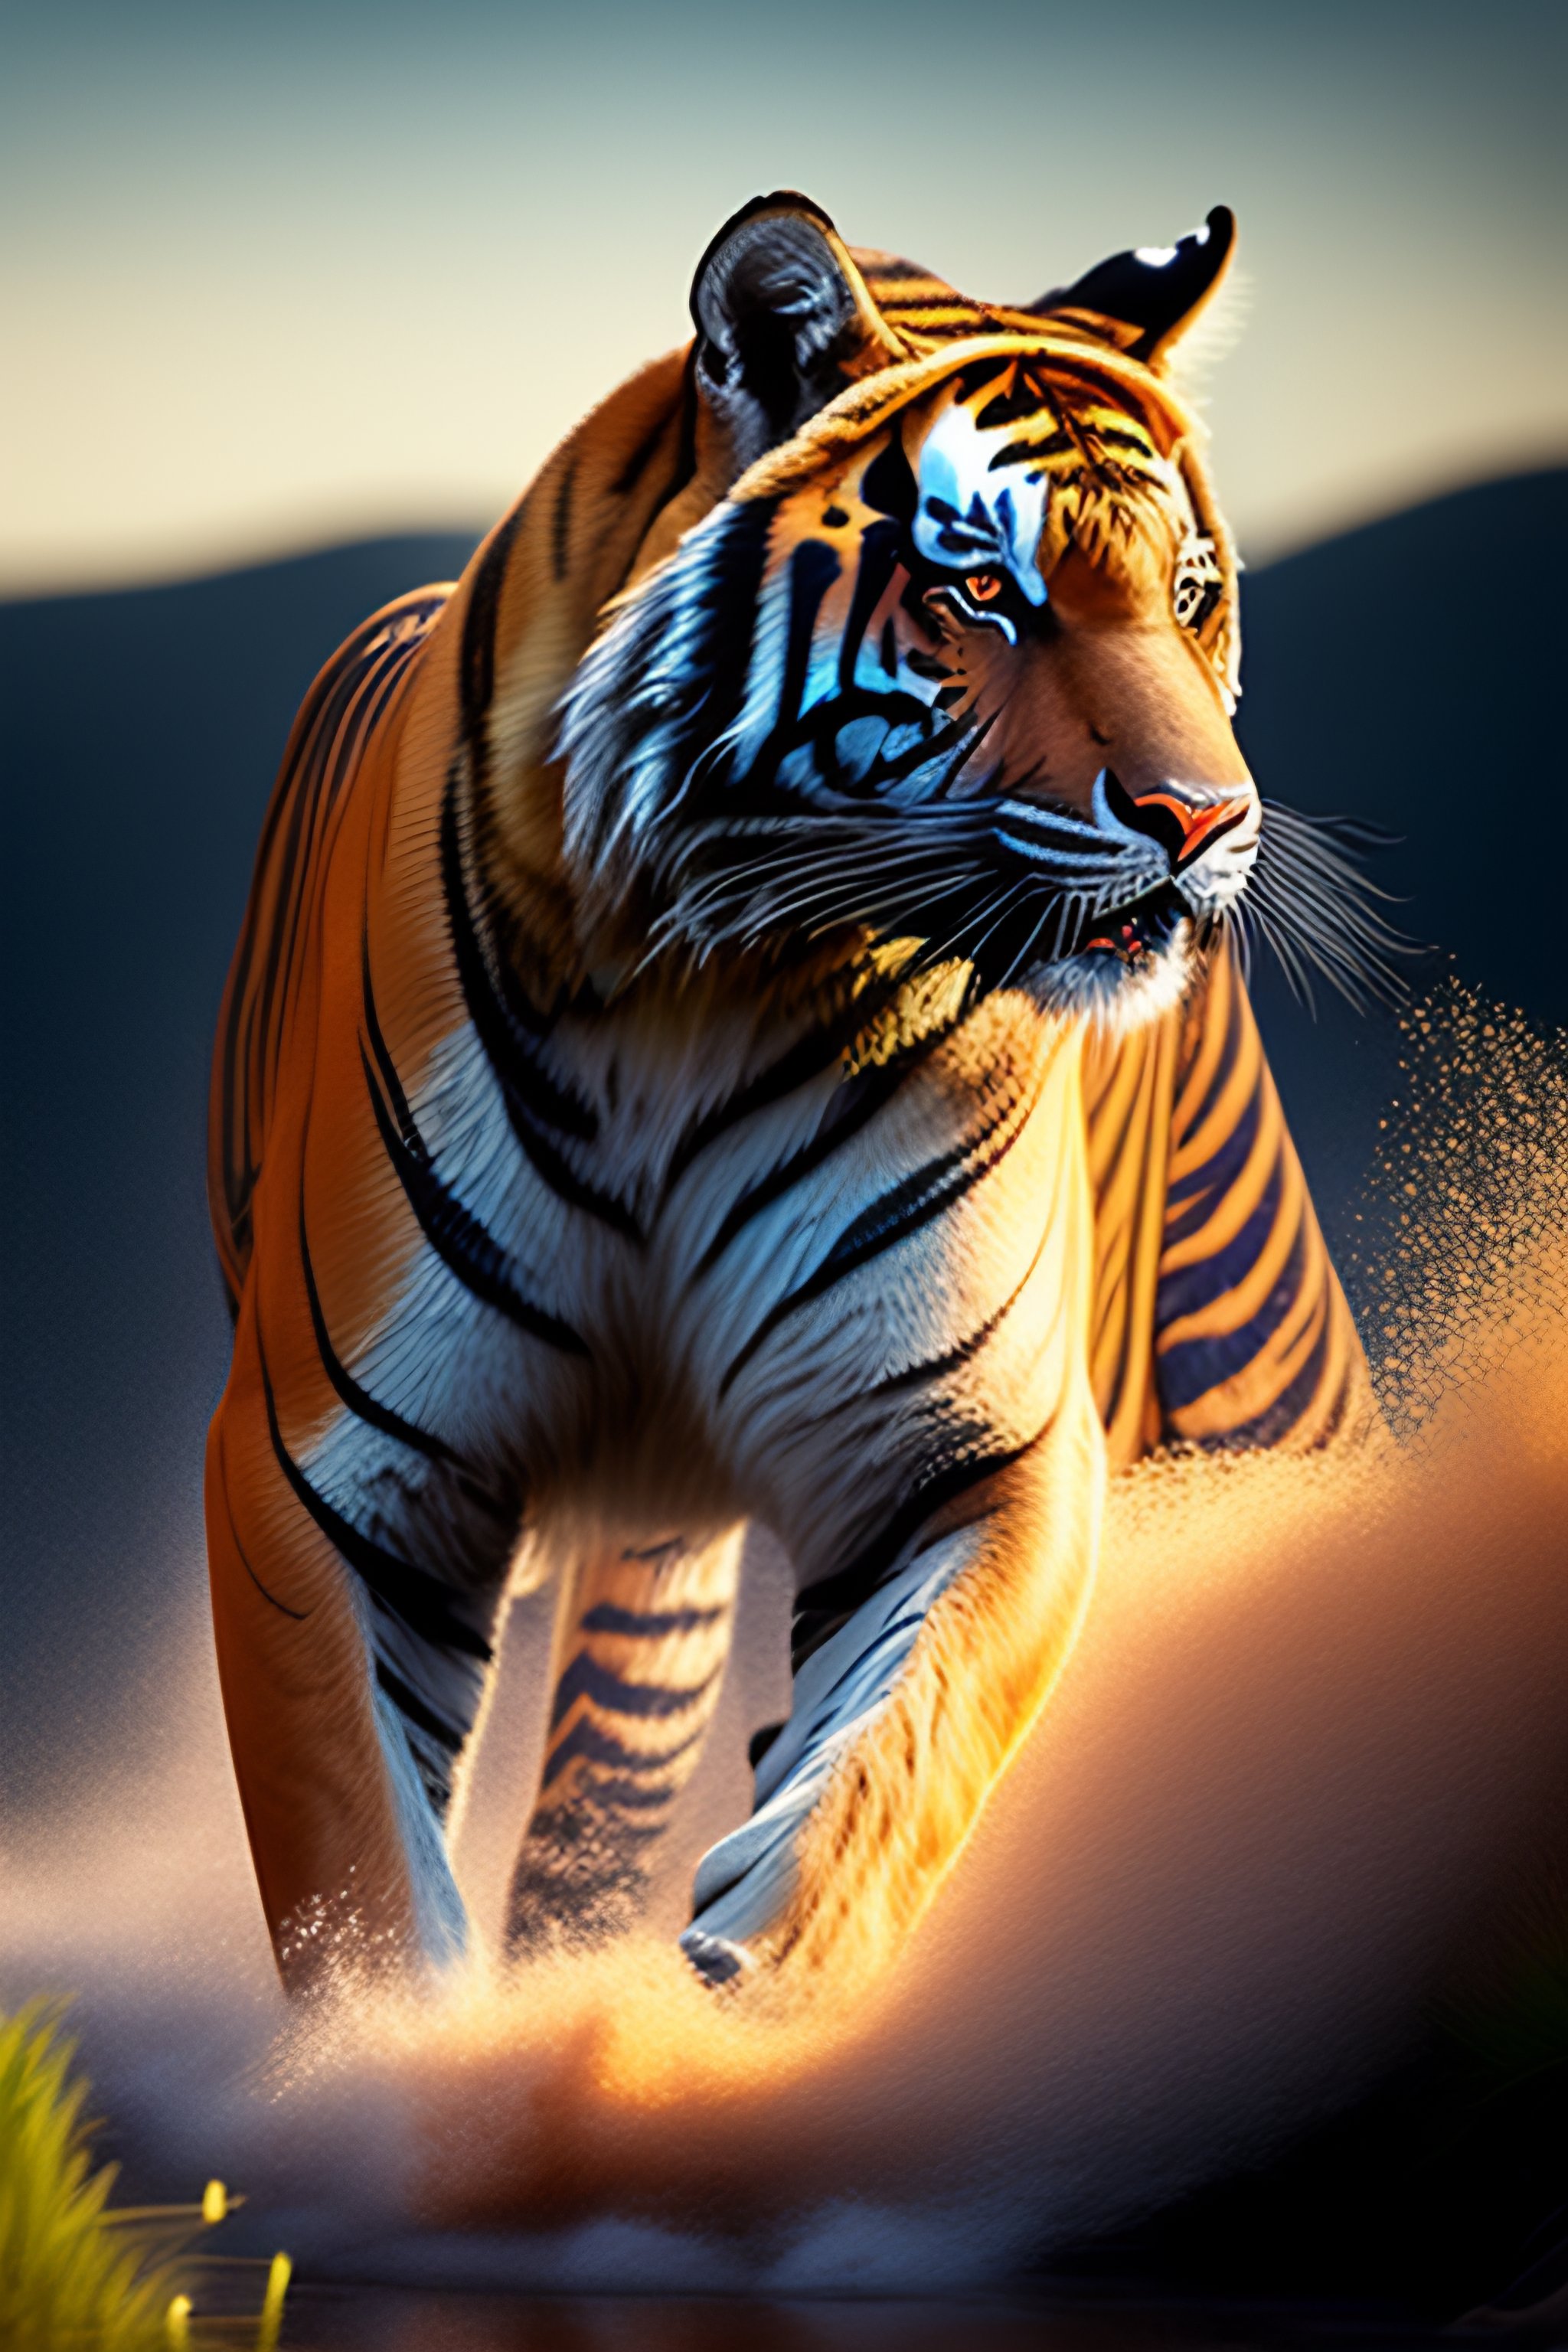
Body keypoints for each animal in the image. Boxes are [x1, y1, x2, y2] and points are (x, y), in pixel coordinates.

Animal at [206, 192, 1373, 2001]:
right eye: (985, 589)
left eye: (1188, 593)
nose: (1205, 820)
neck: (714, 978)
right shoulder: (327, 1466)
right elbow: (361, 1880)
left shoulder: (975, 1449)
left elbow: (880, 1784)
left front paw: (732, 2005)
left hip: (1267, 1373)